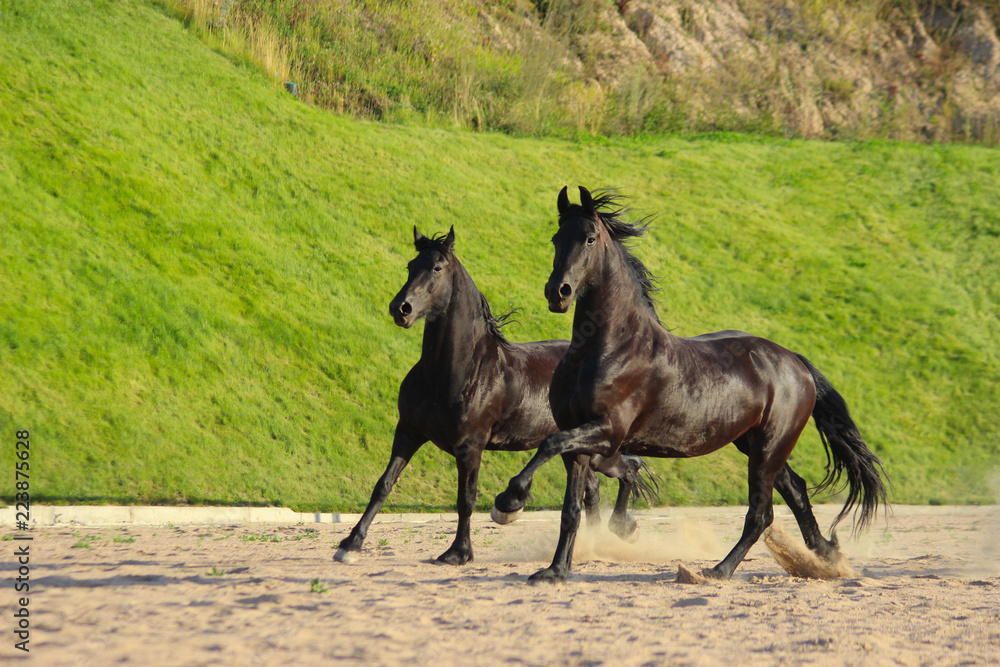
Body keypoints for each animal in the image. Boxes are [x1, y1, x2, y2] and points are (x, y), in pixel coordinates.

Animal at [335, 225, 653, 566]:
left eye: (437, 268)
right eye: (411, 266)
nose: (400, 308)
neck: (454, 374)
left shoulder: (470, 447)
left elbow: (466, 499)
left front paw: (458, 553)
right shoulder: (408, 432)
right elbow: (383, 485)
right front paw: (350, 545)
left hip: (596, 446)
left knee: (629, 470)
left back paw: (621, 528)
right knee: (592, 490)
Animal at [492, 186, 889, 583]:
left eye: (589, 238)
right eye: (557, 238)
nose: (557, 292)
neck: (608, 348)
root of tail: (795, 361)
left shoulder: (607, 432)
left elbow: (549, 444)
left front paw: (509, 503)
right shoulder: (579, 442)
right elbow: (570, 509)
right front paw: (554, 571)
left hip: (769, 448)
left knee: (761, 513)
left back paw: (717, 570)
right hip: (754, 444)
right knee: (796, 490)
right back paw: (827, 556)